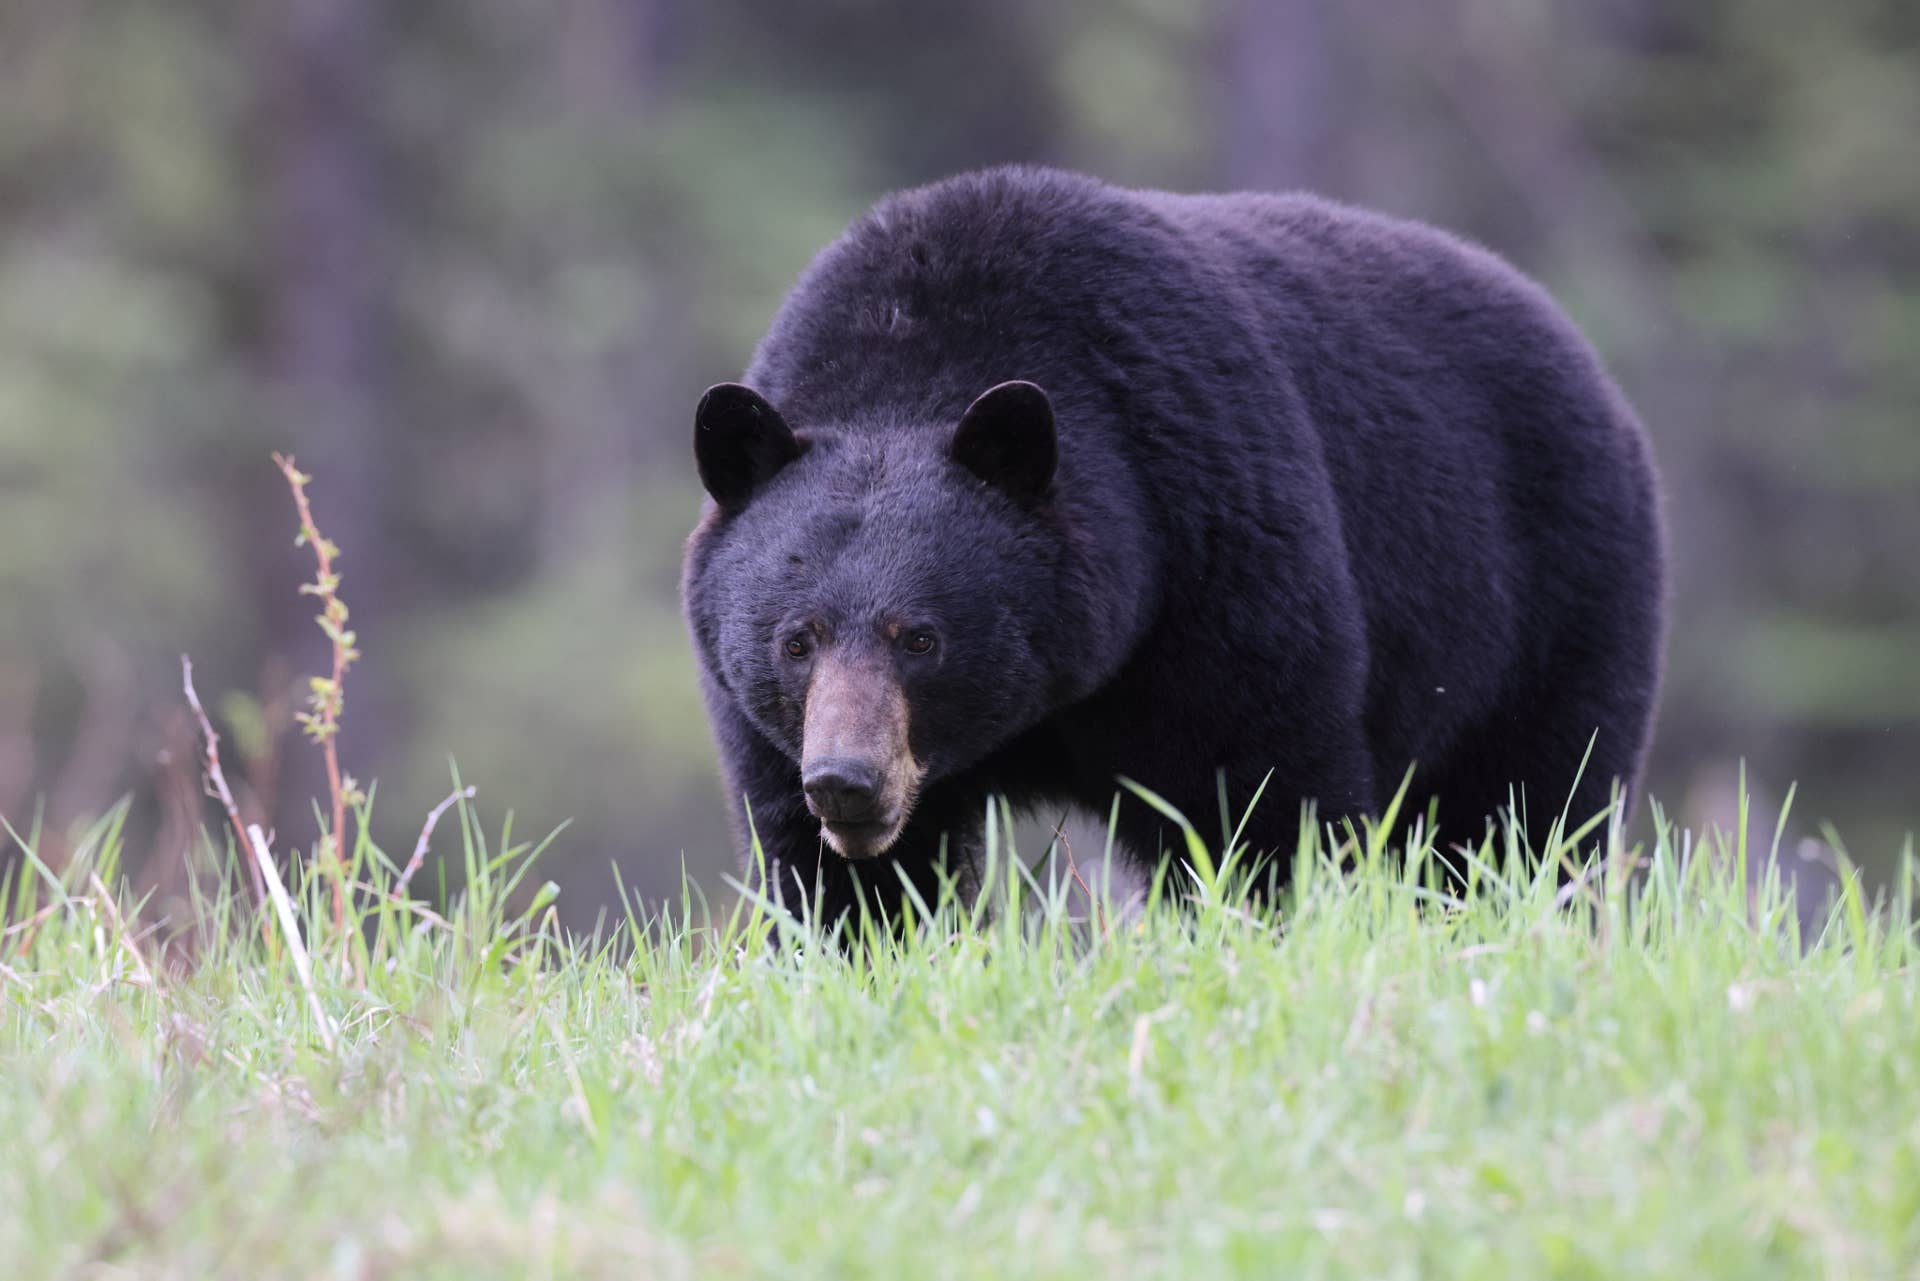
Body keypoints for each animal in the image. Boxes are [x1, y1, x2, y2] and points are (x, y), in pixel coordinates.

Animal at [680, 165, 1664, 929]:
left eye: (921, 636)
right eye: (795, 640)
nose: (846, 780)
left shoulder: (1213, 554)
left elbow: (1259, 796)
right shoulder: (763, 726)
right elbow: (834, 878)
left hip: (1552, 602)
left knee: (1526, 816)